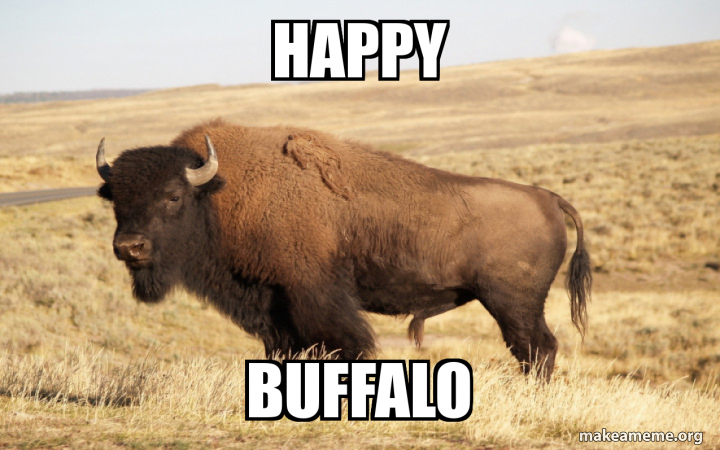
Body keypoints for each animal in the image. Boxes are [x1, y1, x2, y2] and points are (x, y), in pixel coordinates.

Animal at [96, 119, 591, 381]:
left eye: (173, 196)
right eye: (115, 198)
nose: (130, 247)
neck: (220, 193)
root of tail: (548, 197)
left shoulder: (314, 295)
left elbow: (345, 342)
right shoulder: (271, 304)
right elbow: (285, 349)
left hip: (512, 302)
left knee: (536, 347)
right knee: (535, 349)